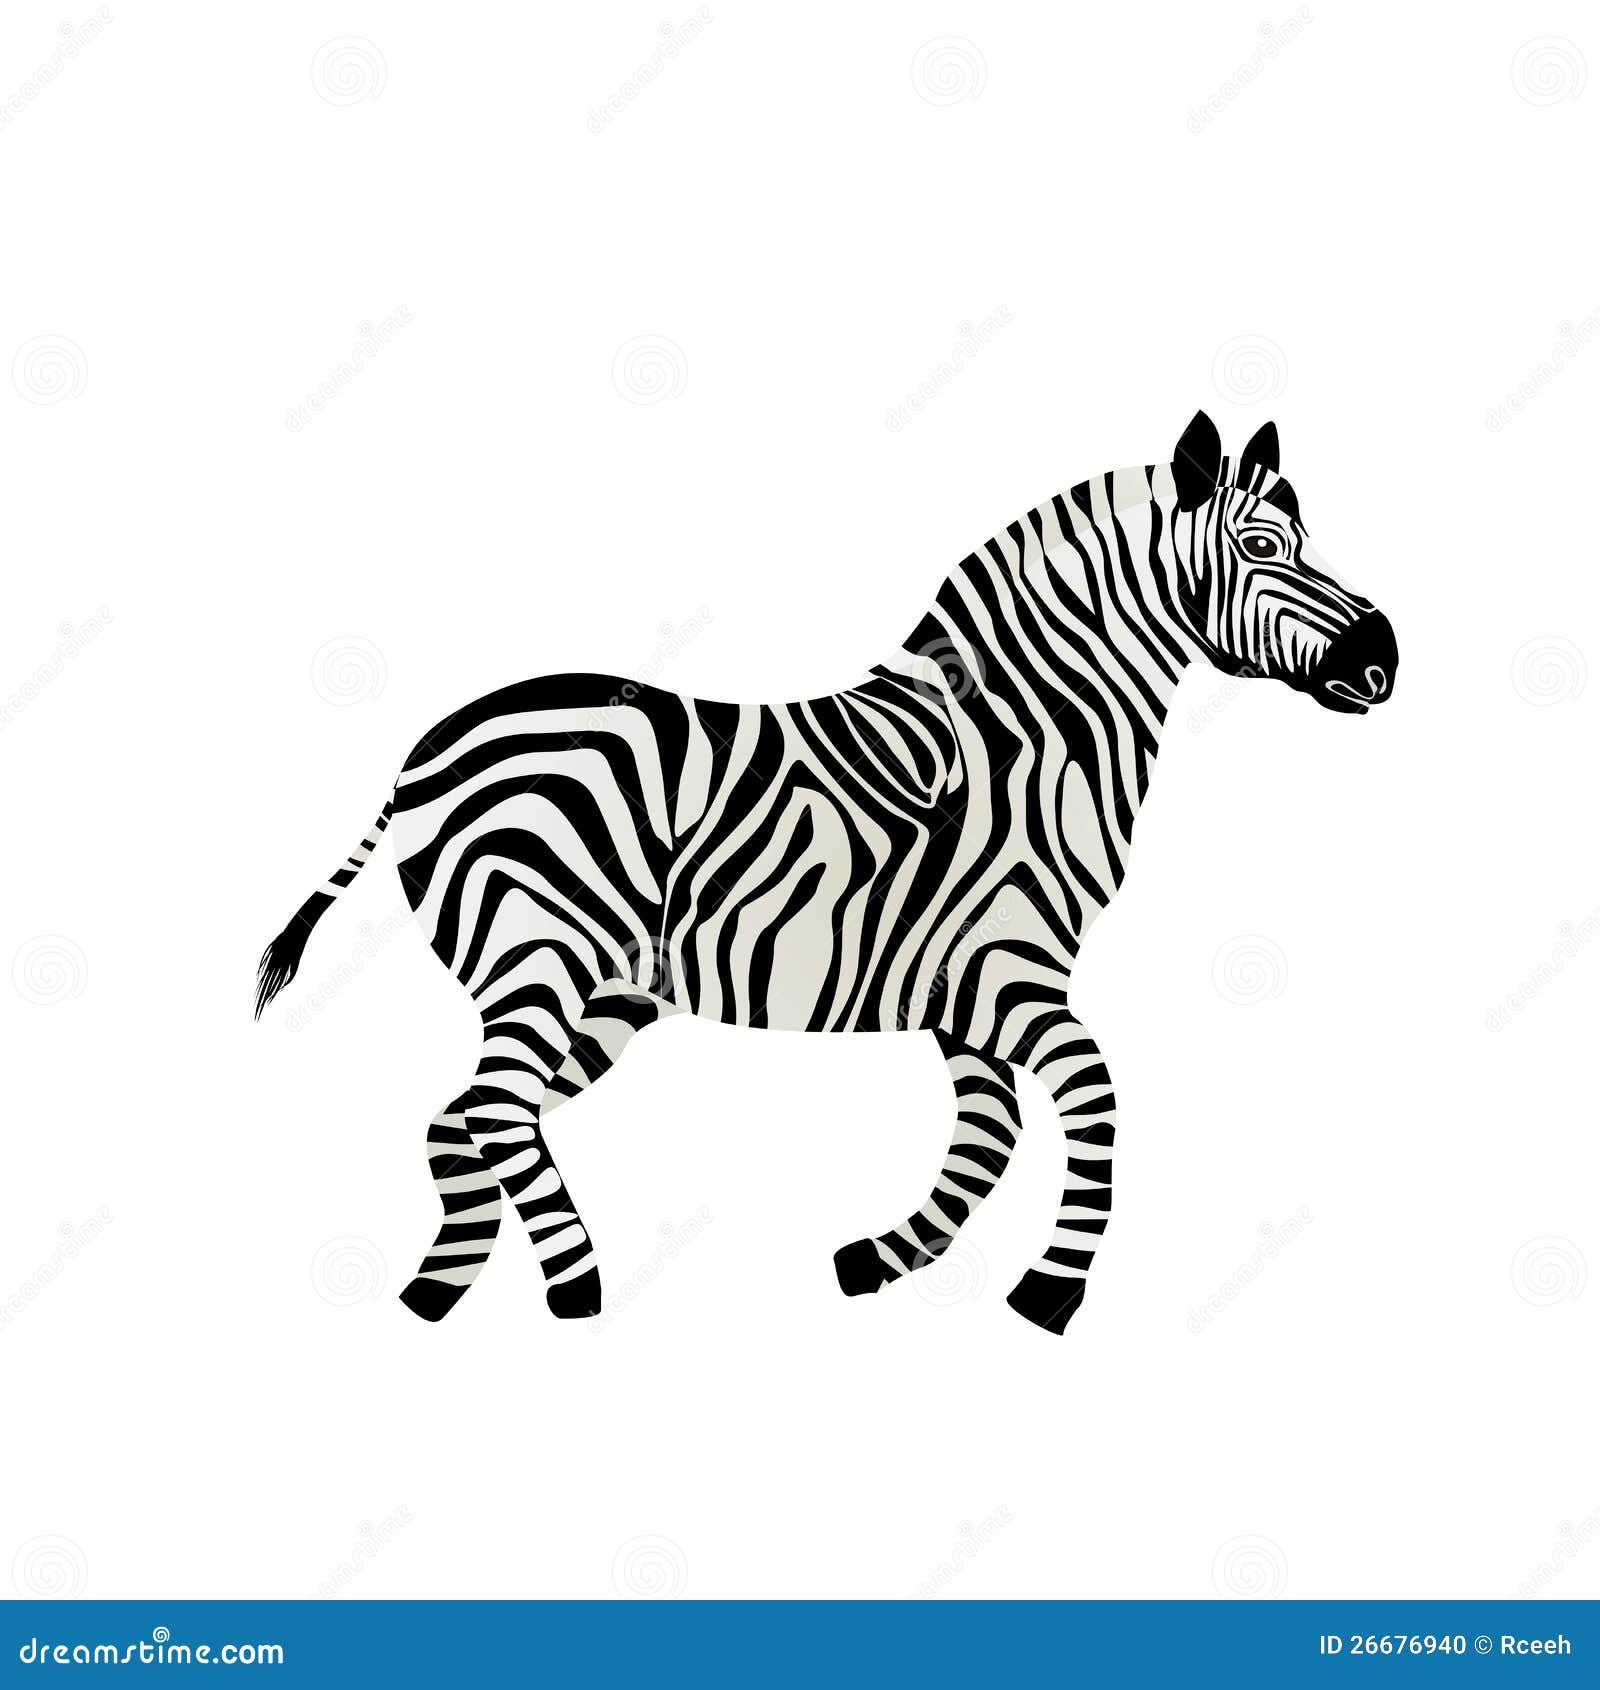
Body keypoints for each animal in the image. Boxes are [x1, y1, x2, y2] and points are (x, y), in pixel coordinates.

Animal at [256, 410, 1396, 1334]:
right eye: (1262, 546)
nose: (1385, 656)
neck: (1026, 739)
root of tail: (423, 749)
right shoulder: (1010, 963)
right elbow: (1091, 1093)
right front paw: (1051, 1291)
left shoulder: (963, 981)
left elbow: (989, 1128)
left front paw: (885, 1259)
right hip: (540, 951)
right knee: (492, 1112)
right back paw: (576, 1287)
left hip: (599, 989)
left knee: (459, 1119)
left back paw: (436, 1292)